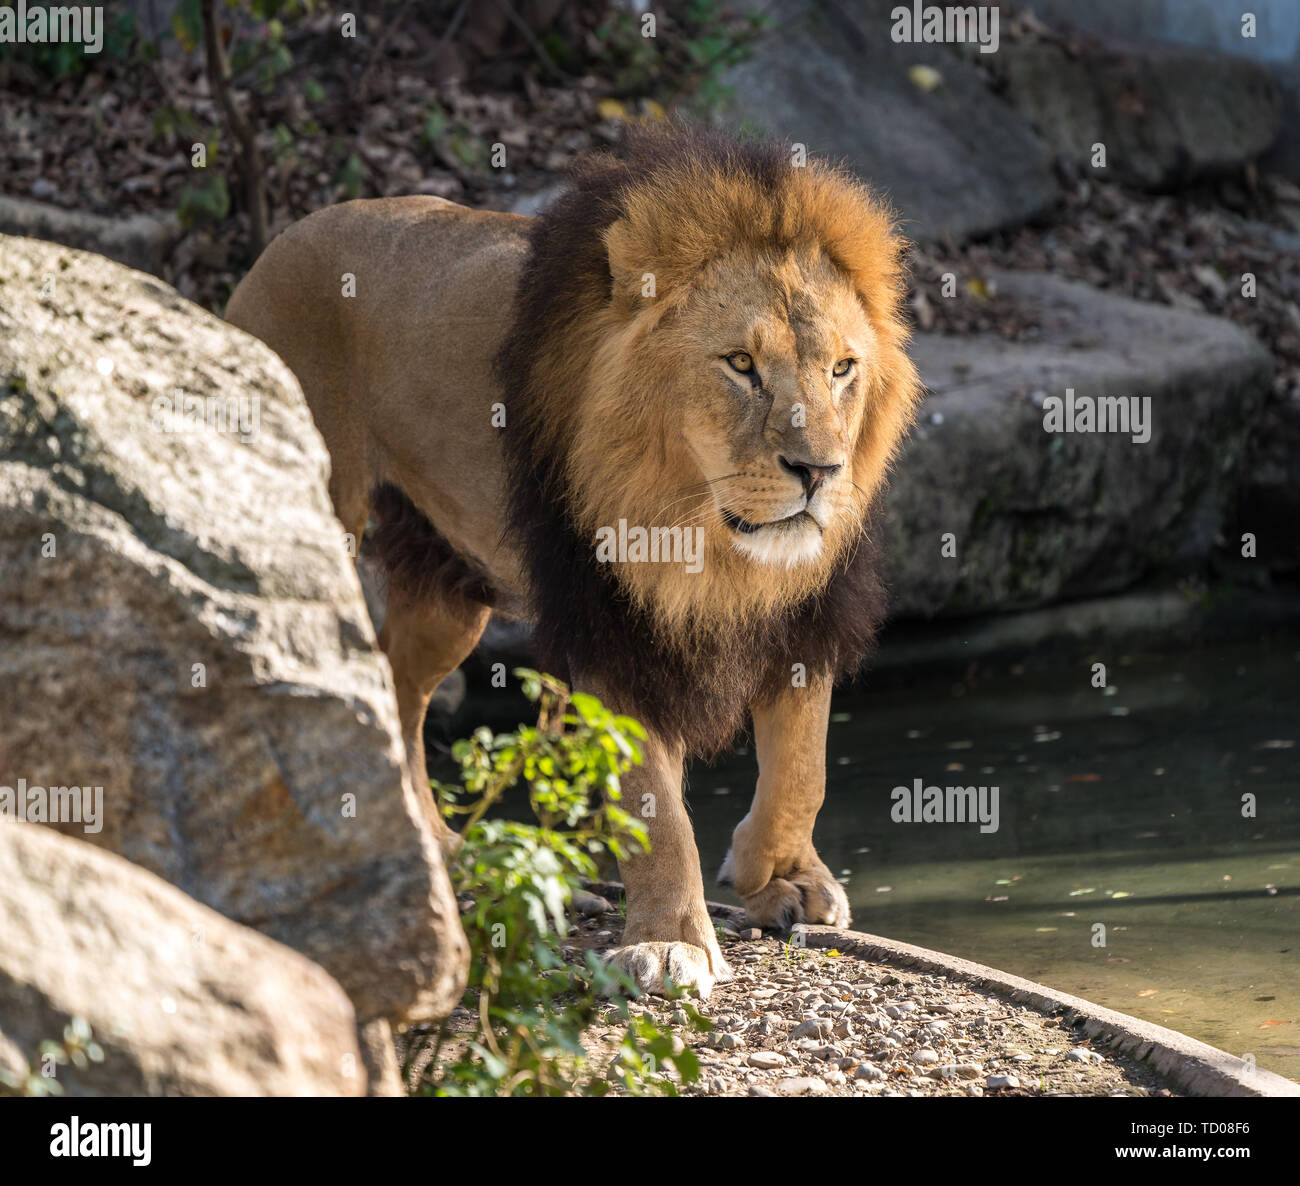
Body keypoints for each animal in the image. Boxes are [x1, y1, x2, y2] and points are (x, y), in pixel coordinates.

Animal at [226, 126, 922, 999]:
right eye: (740, 364)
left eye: (841, 369)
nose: (822, 471)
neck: (705, 533)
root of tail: (279, 242)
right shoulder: (608, 621)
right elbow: (657, 808)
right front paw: (669, 942)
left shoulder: (805, 613)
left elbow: (804, 764)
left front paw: (781, 879)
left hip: (449, 593)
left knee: (399, 691)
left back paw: (440, 850)